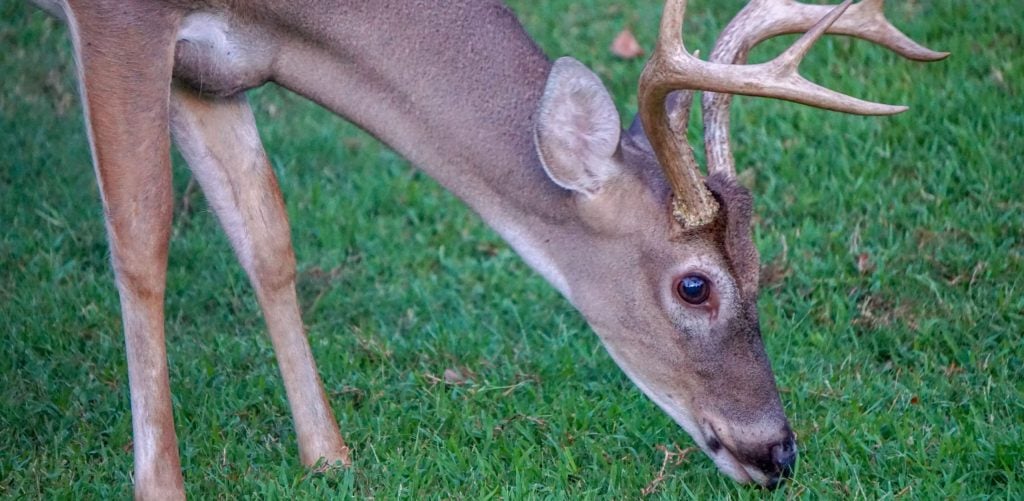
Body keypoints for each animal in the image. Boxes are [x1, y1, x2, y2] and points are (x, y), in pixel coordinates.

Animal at [26, 0, 945, 497]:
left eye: (759, 270)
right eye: (695, 285)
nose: (777, 452)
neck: (286, 21)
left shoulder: (213, 68)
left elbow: (266, 233)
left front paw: (329, 457)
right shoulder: (121, 21)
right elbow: (141, 236)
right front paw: (160, 485)